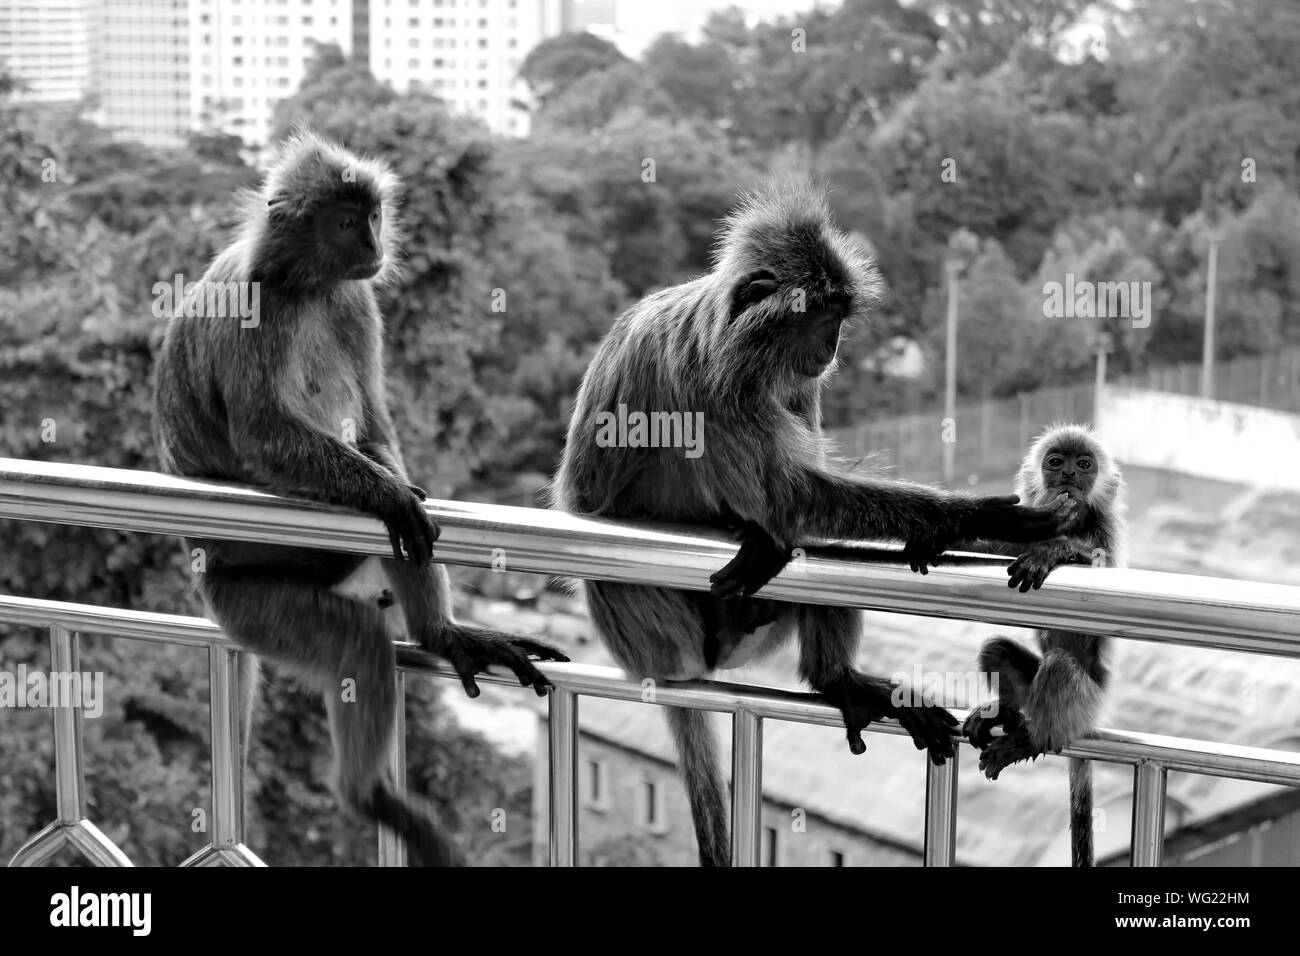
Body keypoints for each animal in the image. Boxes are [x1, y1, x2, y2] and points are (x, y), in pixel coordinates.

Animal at [153, 130, 567, 866]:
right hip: (247, 597)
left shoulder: (353, 299)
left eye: (372, 216)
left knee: (399, 545)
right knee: (356, 637)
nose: (374, 243)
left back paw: (442, 634)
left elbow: (376, 431)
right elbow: (264, 435)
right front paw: (391, 497)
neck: (306, 284)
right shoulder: (258, 303)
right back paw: (368, 794)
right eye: (347, 222)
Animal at [551, 178, 1074, 866]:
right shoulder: (716, 381)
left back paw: (838, 679)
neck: (733, 334)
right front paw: (966, 516)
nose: (831, 349)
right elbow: (788, 498)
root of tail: (668, 666)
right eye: (824, 320)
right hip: (669, 631)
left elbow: (796, 499)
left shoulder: (787, 382)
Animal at [961, 423, 1127, 867]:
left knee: (1059, 667)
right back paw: (1007, 712)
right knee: (997, 649)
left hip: (1085, 701)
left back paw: (1032, 740)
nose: (1068, 475)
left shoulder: (1103, 533)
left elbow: (1098, 566)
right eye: (1056, 462)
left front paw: (1055, 549)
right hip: (1030, 690)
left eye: (1084, 465)